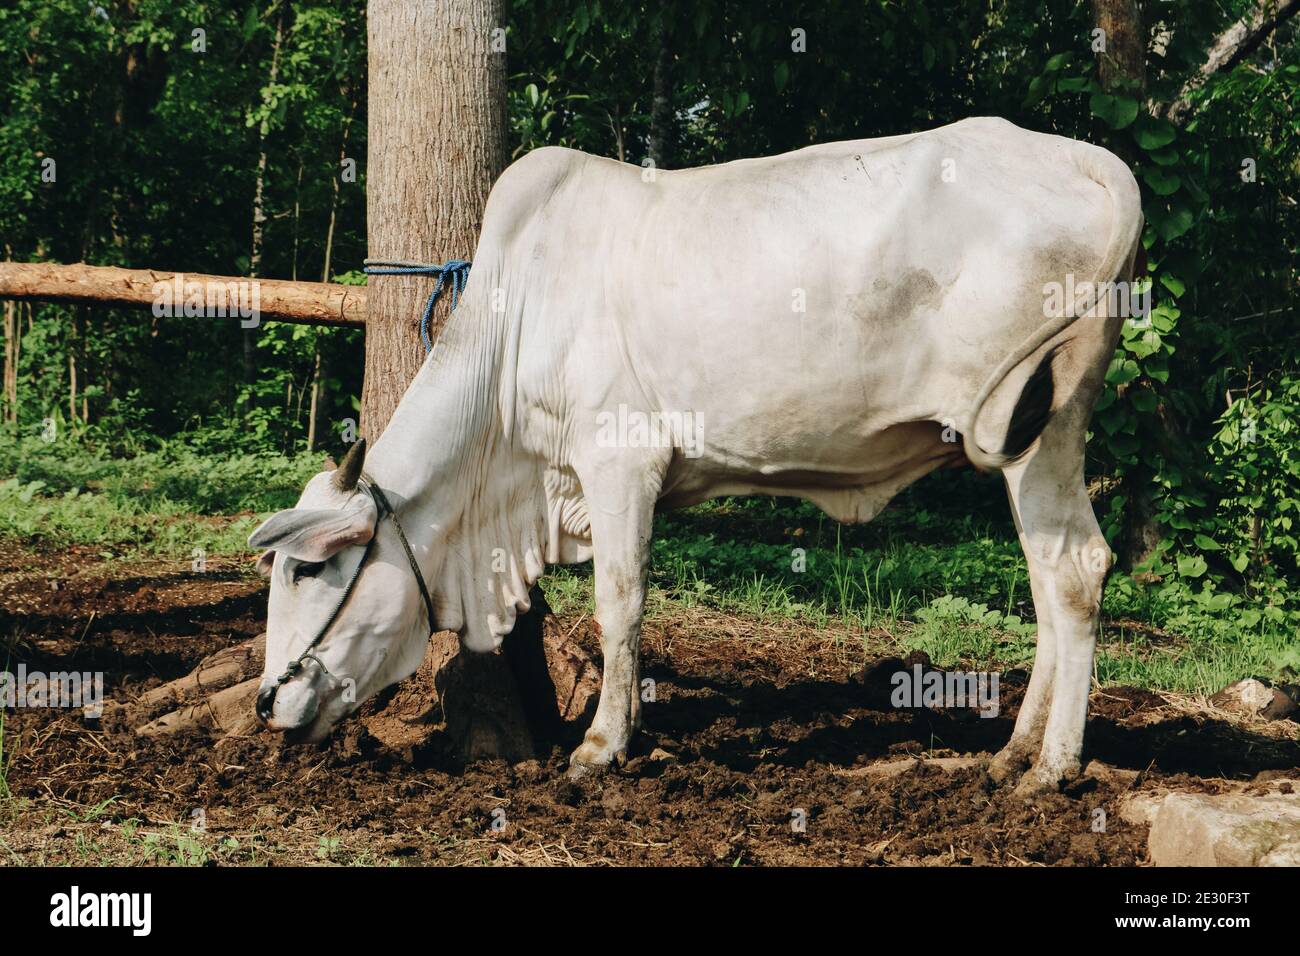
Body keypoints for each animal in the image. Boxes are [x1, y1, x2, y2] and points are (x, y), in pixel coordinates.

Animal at [248, 117, 1143, 798]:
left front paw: (601, 748)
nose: (265, 706)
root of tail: (1081, 157)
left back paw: (1052, 769)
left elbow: (620, 606)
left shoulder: (619, 464)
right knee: (1048, 579)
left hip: (1042, 431)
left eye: (309, 569)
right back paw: (1013, 754)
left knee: (1075, 571)